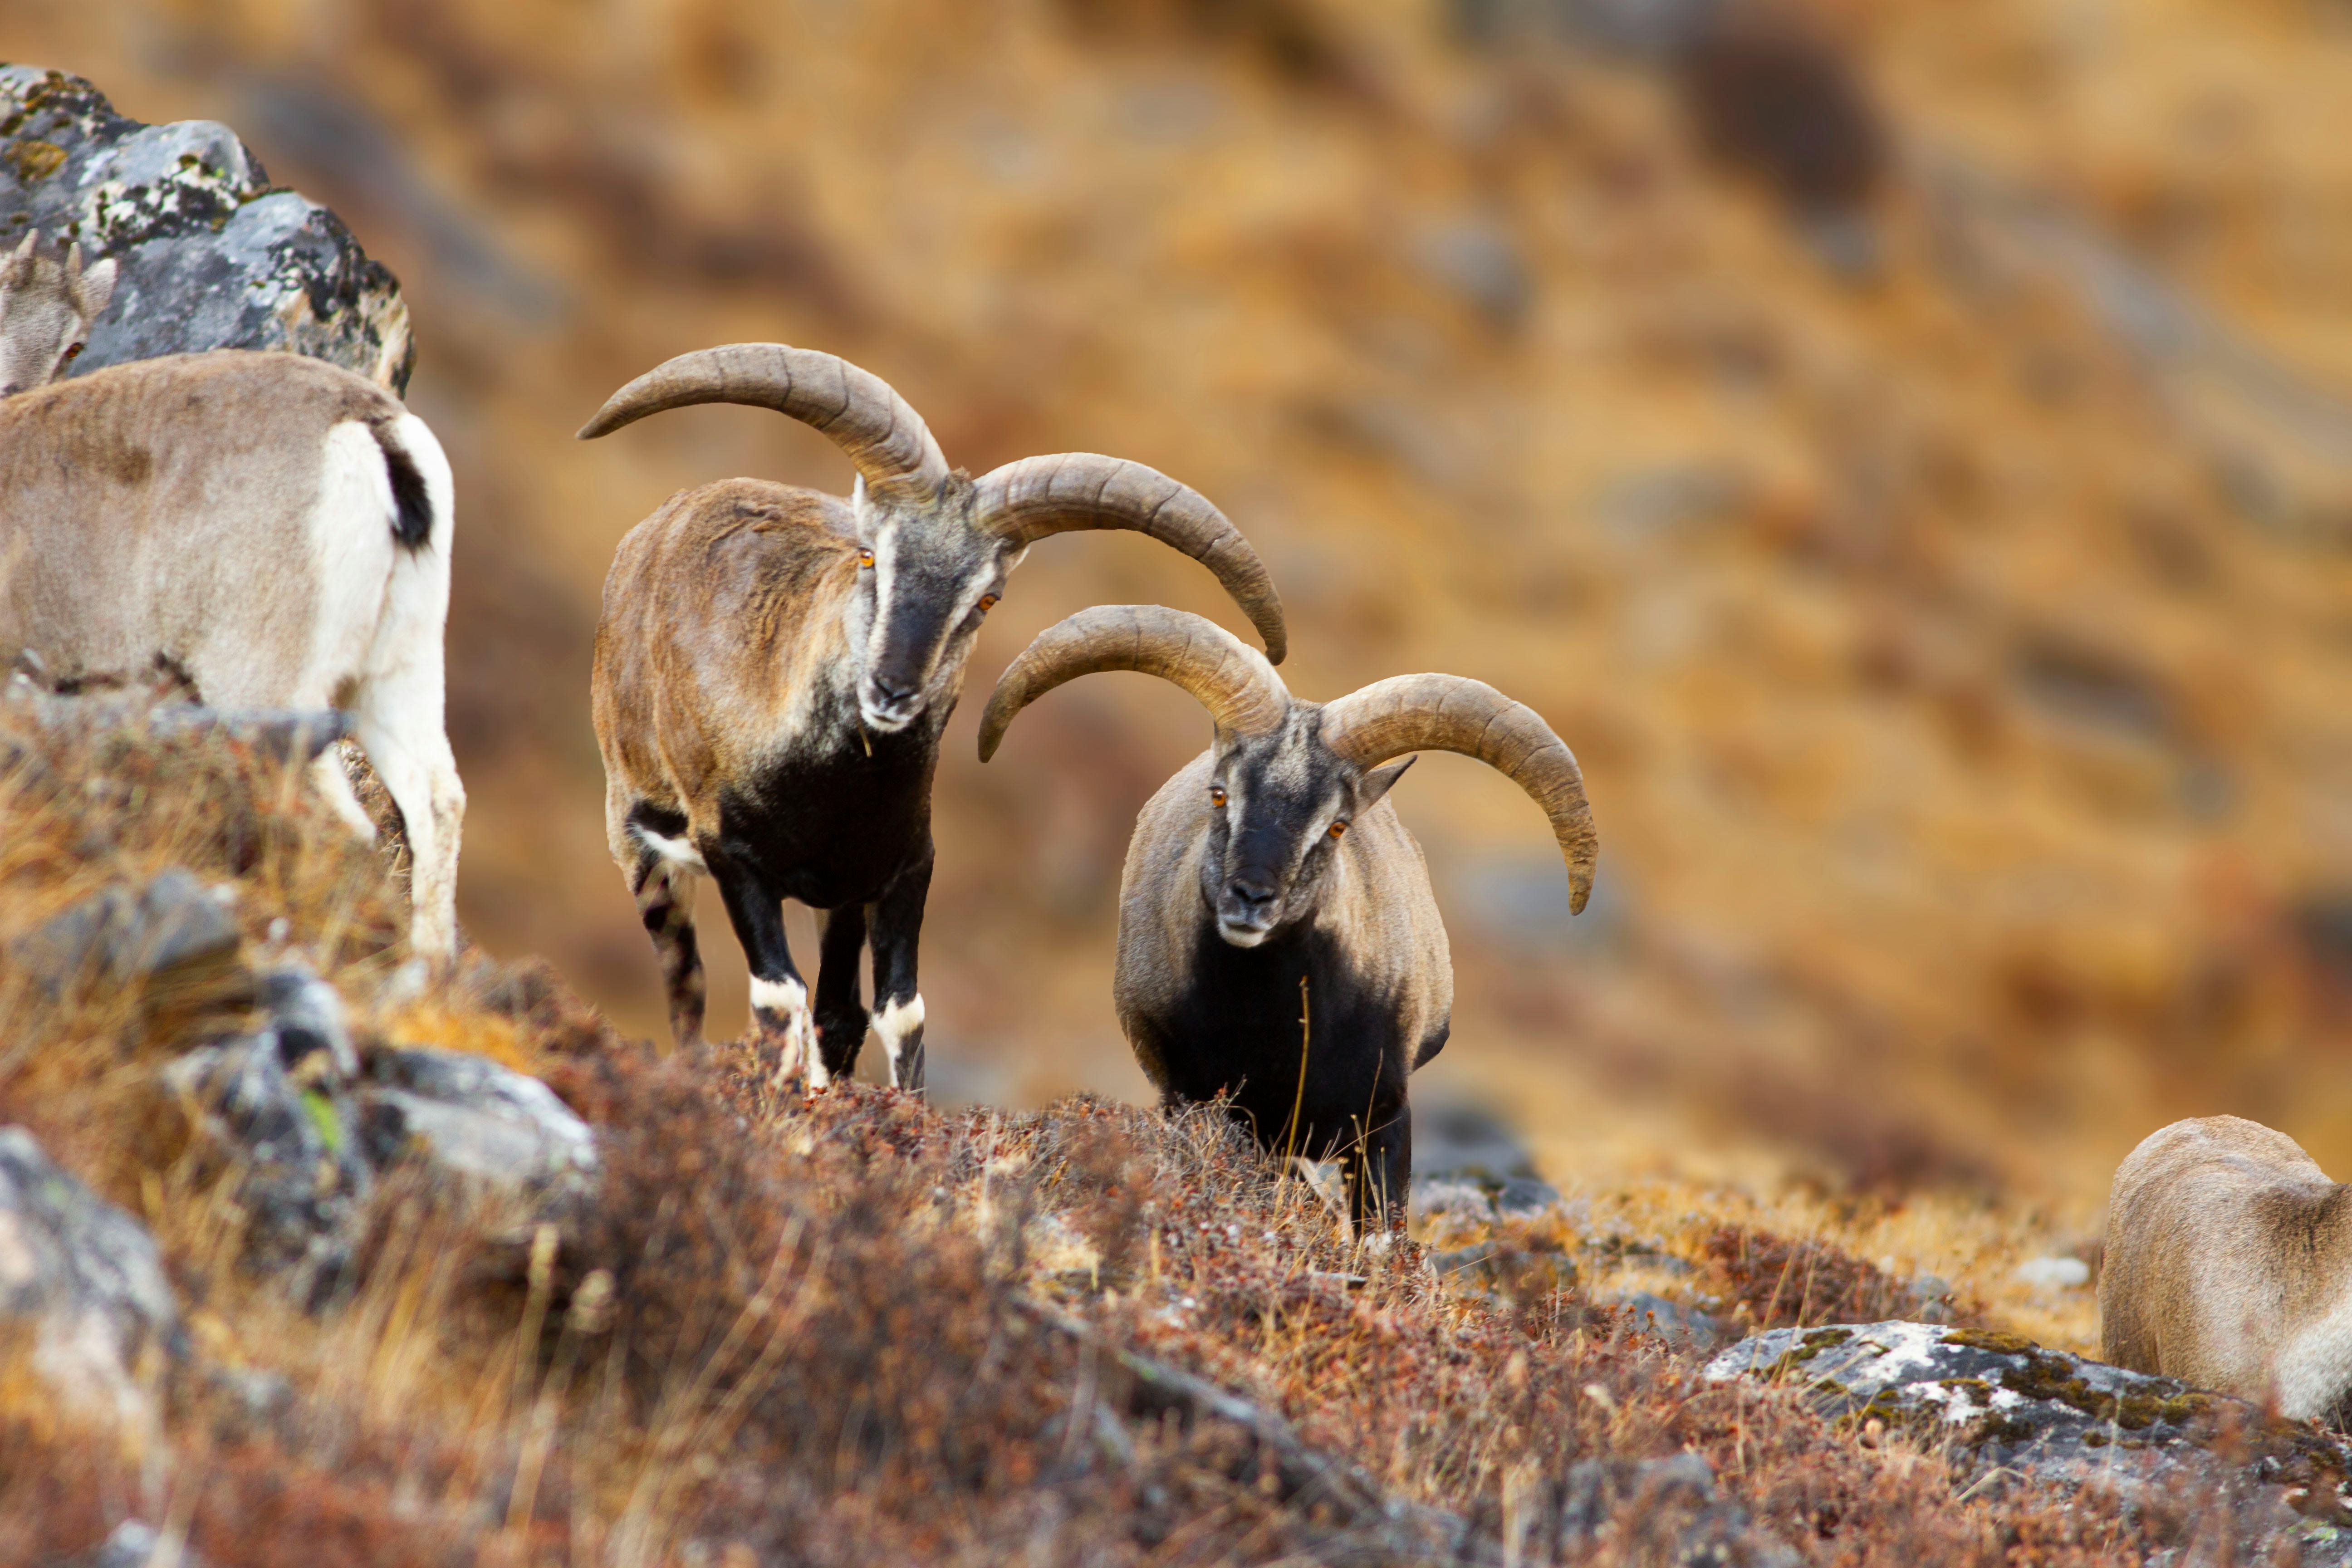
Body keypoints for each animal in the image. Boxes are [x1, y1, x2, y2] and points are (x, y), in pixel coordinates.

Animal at [579, 343, 1287, 1093]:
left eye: (986, 598)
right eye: (870, 556)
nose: (892, 689)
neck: (828, 794)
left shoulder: (898, 871)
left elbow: (894, 1012)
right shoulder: (735, 856)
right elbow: (777, 1000)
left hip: (837, 902)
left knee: (836, 1009)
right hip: (638, 836)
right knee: (685, 978)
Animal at [978, 604, 1597, 1230]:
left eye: (1338, 825)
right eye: (1220, 794)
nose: (1251, 898)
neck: (1278, 1031)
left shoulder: (1385, 1120)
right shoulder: (1203, 1106)